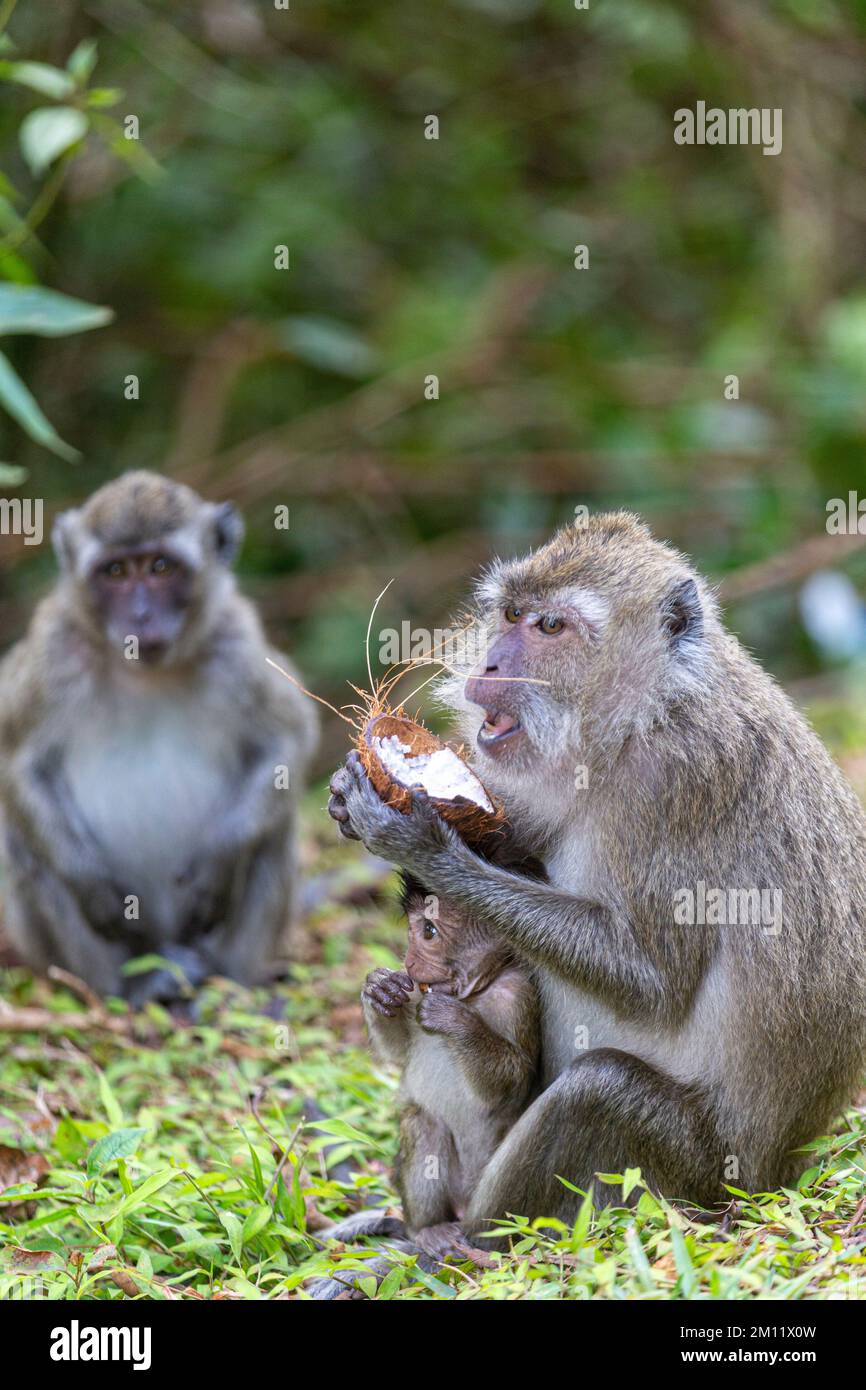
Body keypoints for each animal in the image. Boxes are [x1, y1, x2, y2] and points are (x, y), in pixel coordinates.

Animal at [0, 470, 317, 1004]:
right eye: (114, 572)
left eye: (161, 567)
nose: (142, 616)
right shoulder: (54, 650)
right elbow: (18, 761)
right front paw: (93, 885)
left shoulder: (237, 643)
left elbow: (286, 741)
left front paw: (217, 865)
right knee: (25, 846)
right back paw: (131, 985)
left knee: (274, 829)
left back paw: (225, 980)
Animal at [328, 512, 866, 1246]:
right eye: (512, 614)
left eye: (551, 627)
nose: (491, 664)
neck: (643, 717)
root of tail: (778, 1174)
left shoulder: (673, 785)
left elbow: (653, 980)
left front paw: (428, 847)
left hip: (693, 1171)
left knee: (599, 1091)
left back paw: (463, 1241)